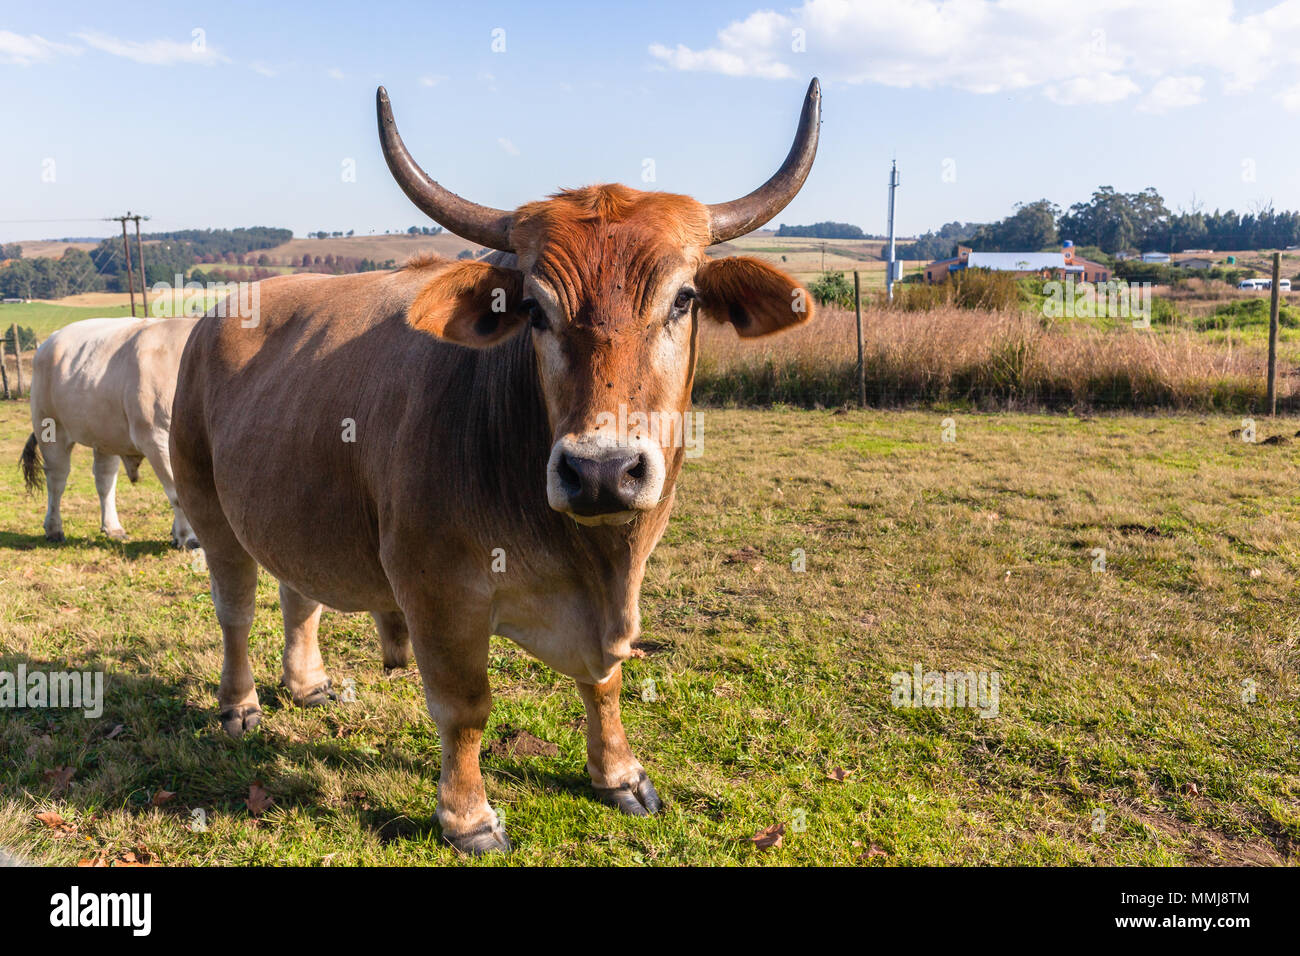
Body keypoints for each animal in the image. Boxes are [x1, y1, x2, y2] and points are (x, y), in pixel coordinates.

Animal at [21, 317, 199, 548]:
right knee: (57, 479)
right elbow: (179, 494)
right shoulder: (157, 439)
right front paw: (189, 538)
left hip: (106, 434)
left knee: (104, 480)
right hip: (51, 427)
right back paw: (54, 529)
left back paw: (112, 527)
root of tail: (49, 341)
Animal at [170, 79, 820, 854]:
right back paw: (238, 705)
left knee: (300, 593)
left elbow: (605, 681)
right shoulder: (438, 591)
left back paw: (307, 683)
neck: (592, 561)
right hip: (210, 510)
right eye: (534, 310)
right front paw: (469, 816)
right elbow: (466, 706)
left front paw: (619, 774)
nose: (602, 472)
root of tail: (223, 311)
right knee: (234, 608)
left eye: (684, 299)